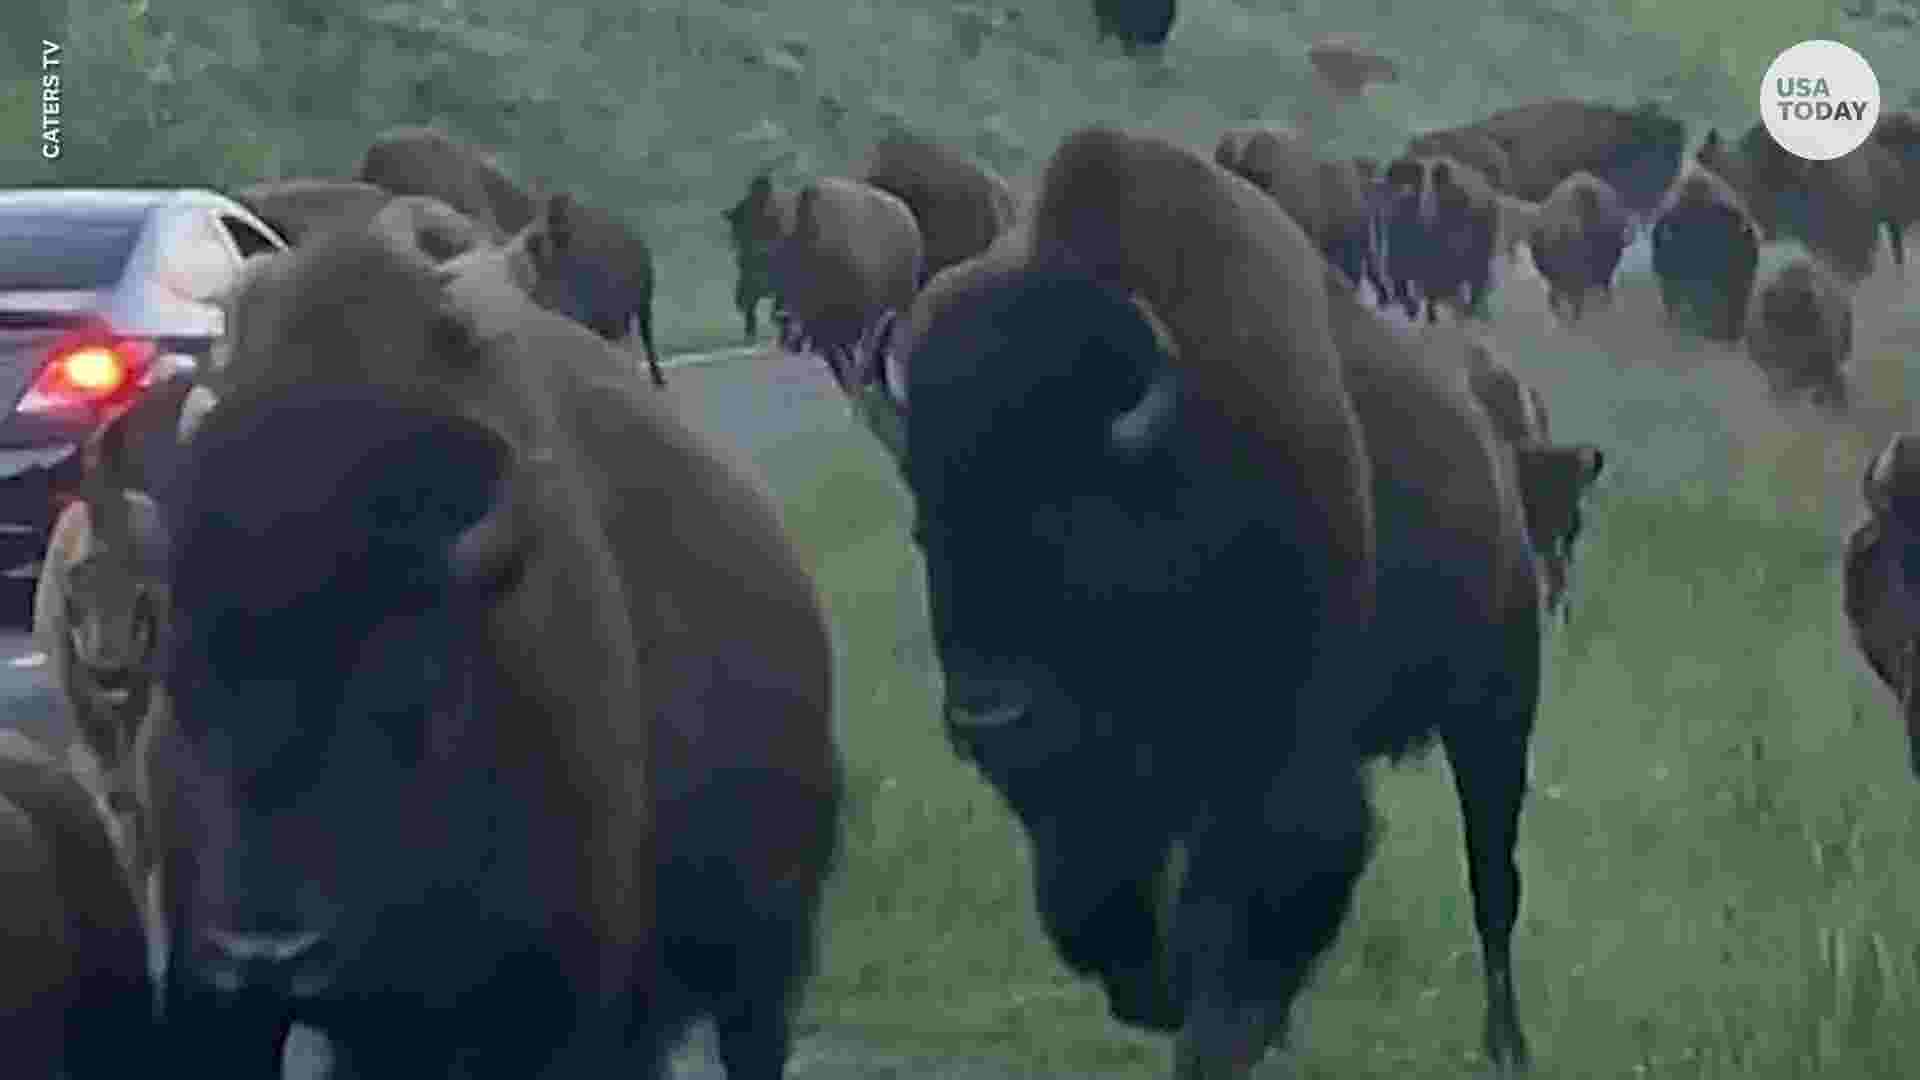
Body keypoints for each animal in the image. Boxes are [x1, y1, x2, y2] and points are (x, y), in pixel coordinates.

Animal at [900, 127, 1539, 1079]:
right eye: (924, 528)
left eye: (1072, 520)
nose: (988, 716)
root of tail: (1497, 459)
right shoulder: (1102, 788)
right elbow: (1101, 909)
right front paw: (1170, 1000)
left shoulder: (1276, 754)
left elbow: (1253, 900)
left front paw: (1222, 1031)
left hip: (1496, 710)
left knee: (1492, 880)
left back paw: (1507, 1044)